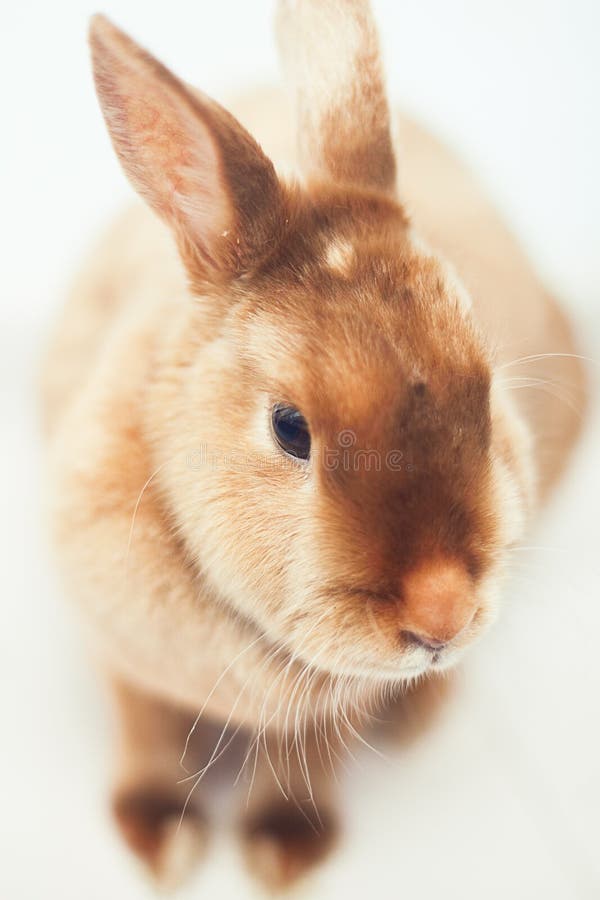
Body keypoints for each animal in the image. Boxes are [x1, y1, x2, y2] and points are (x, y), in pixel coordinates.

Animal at [40, 0, 587, 892]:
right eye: (290, 428)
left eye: (486, 387)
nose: (443, 616)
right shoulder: (121, 661)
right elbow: (147, 735)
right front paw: (163, 845)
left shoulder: (338, 709)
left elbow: (305, 763)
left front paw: (280, 851)